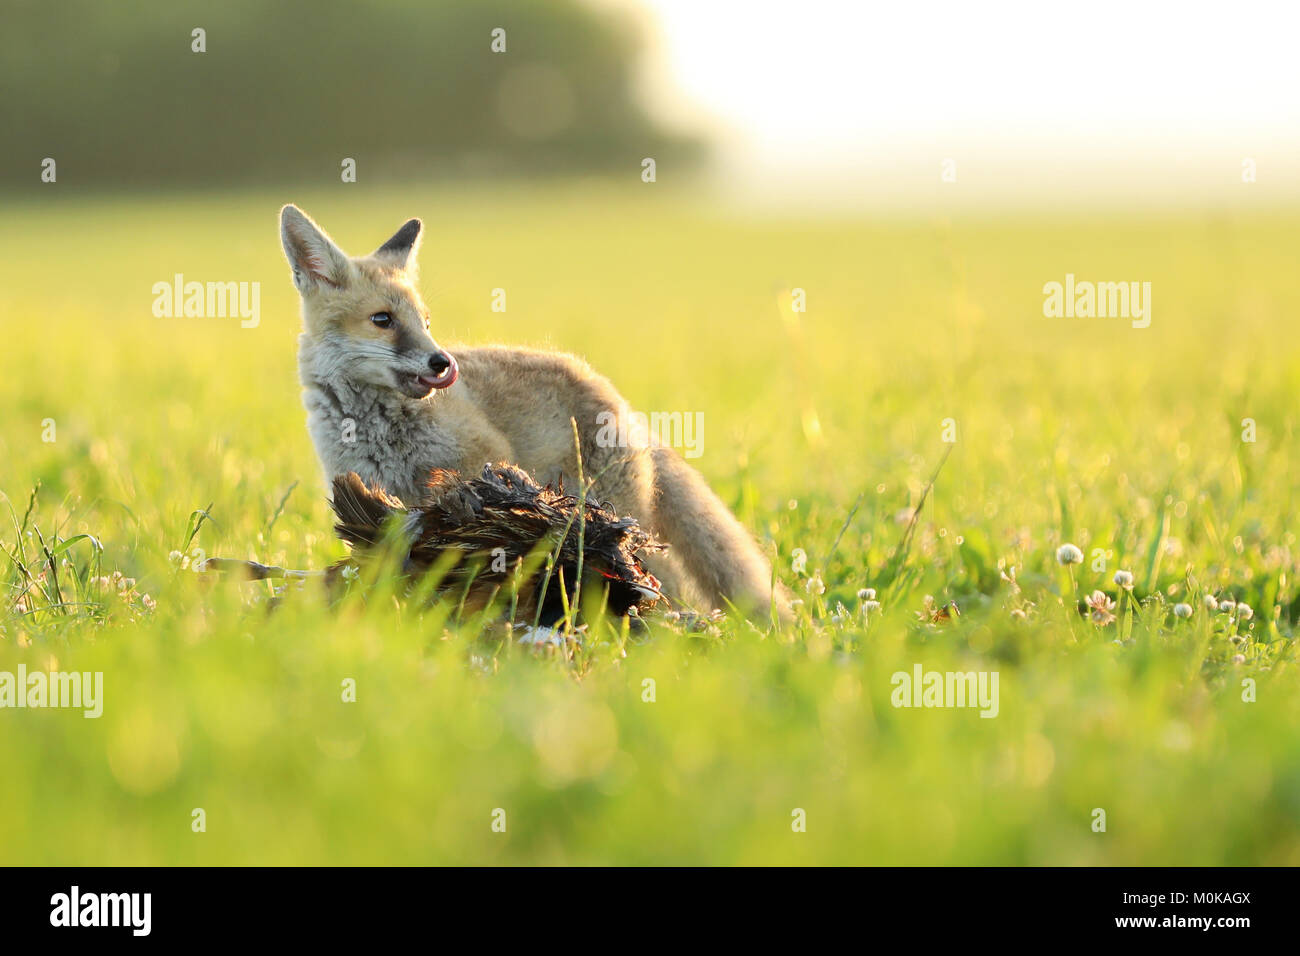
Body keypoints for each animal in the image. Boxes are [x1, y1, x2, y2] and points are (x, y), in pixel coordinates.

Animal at [279, 204, 788, 620]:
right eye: (382, 320)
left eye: (425, 322)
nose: (442, 362)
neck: (375, 429)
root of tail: (611, 392)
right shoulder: (379, 497)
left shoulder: (476, 468)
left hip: (617, 517)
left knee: (665, 582)